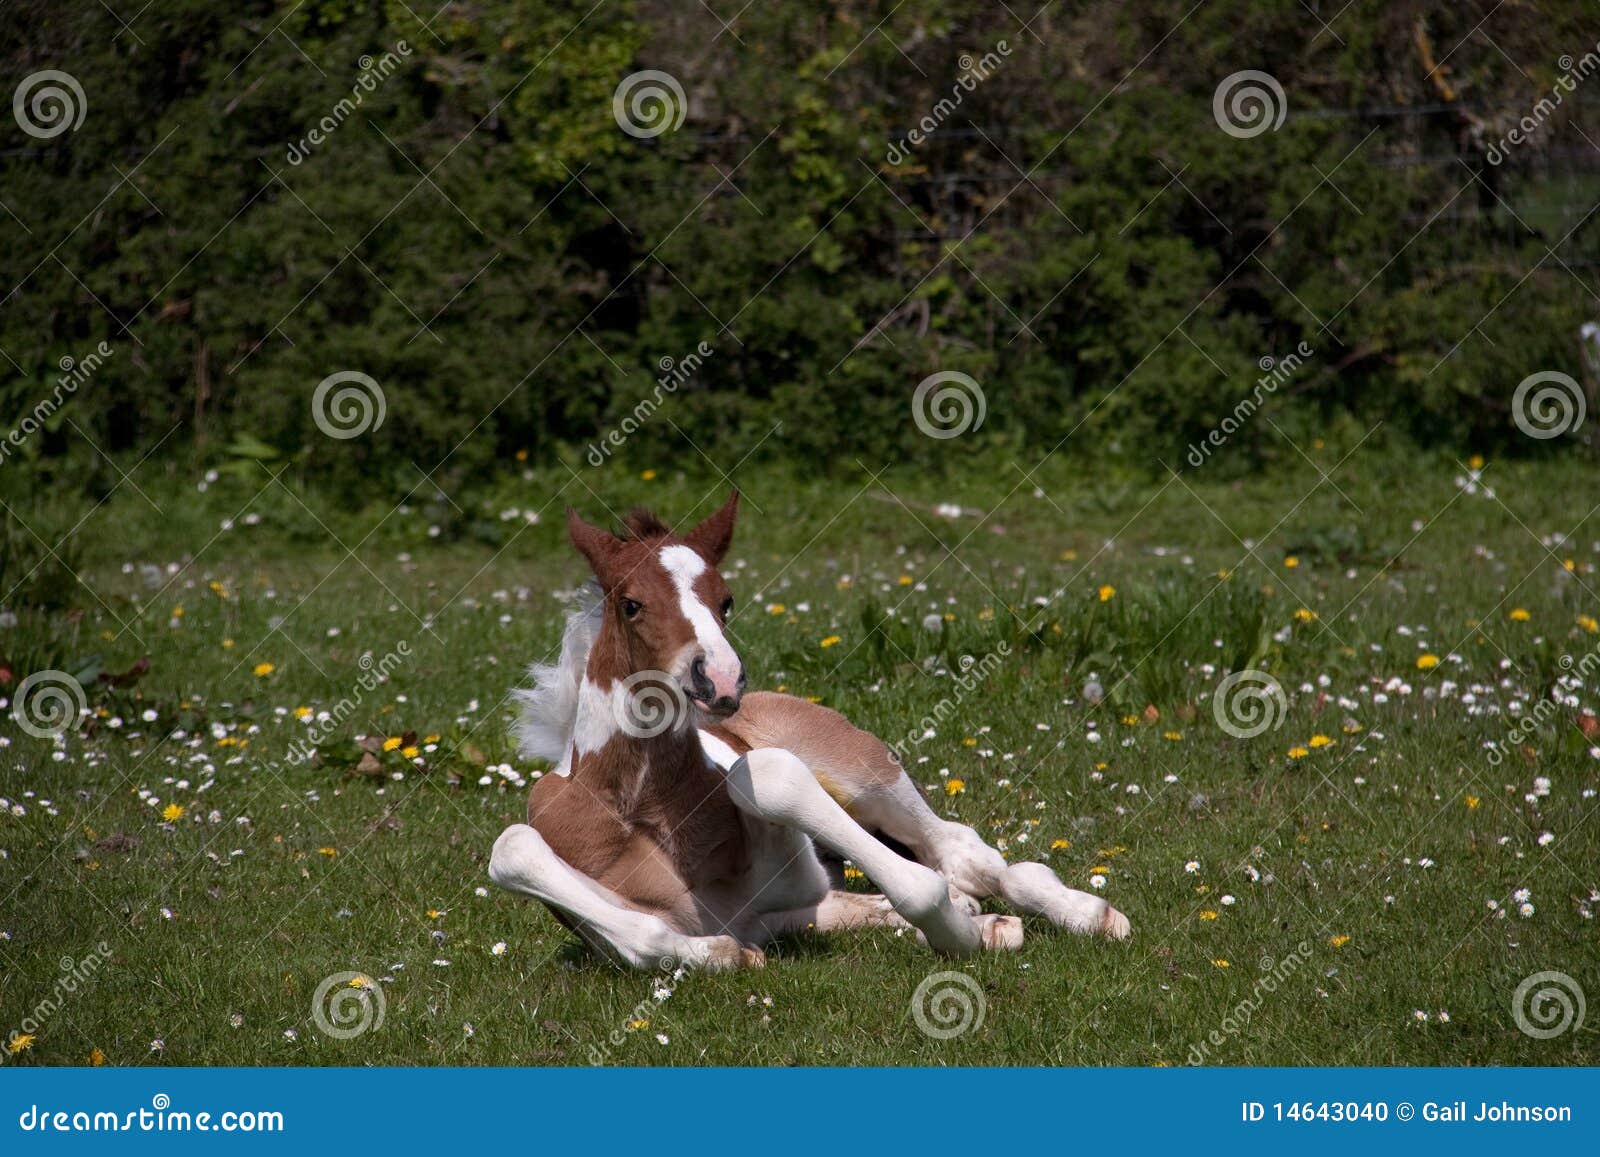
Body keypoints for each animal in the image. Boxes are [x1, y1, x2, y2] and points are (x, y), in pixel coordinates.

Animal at [488, 491, 1131, 969]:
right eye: (630, 604)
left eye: (726, 600)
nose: (719, 680)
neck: (643, 805)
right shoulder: (767, 918)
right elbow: (518, 851)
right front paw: (722, 955)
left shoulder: (795, 856)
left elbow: (772, 779)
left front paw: (960, 936)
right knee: (944, 880)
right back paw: (993, 920)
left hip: (862, 771)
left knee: (961, 851)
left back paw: (1086, 913)